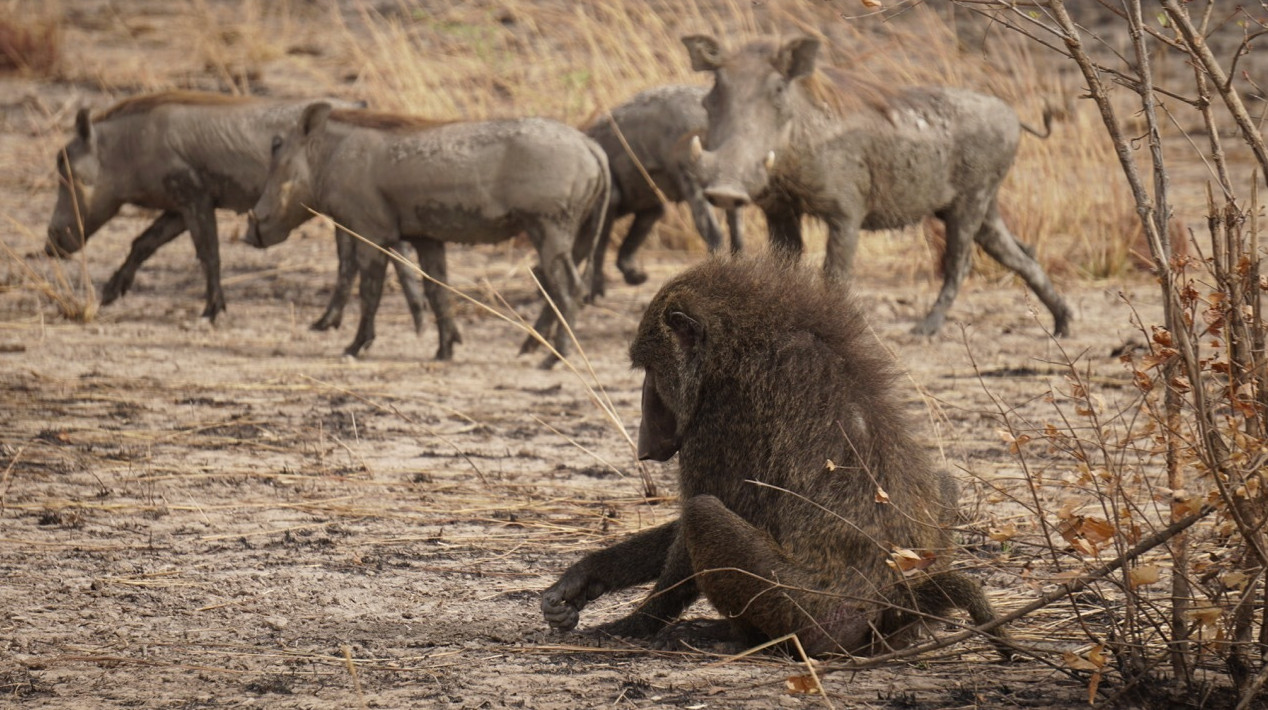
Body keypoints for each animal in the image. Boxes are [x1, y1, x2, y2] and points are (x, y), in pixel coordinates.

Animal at [540, 257, 1009, 658]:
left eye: (650, 370)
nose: (644, 441)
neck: (738, 343)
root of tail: (885, 604)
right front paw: (584, 578)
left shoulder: (720, 419)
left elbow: (697, 526)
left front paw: (629, 625)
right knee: (945, 482)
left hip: (806, 611)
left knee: (703, 515)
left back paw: (735, 638)